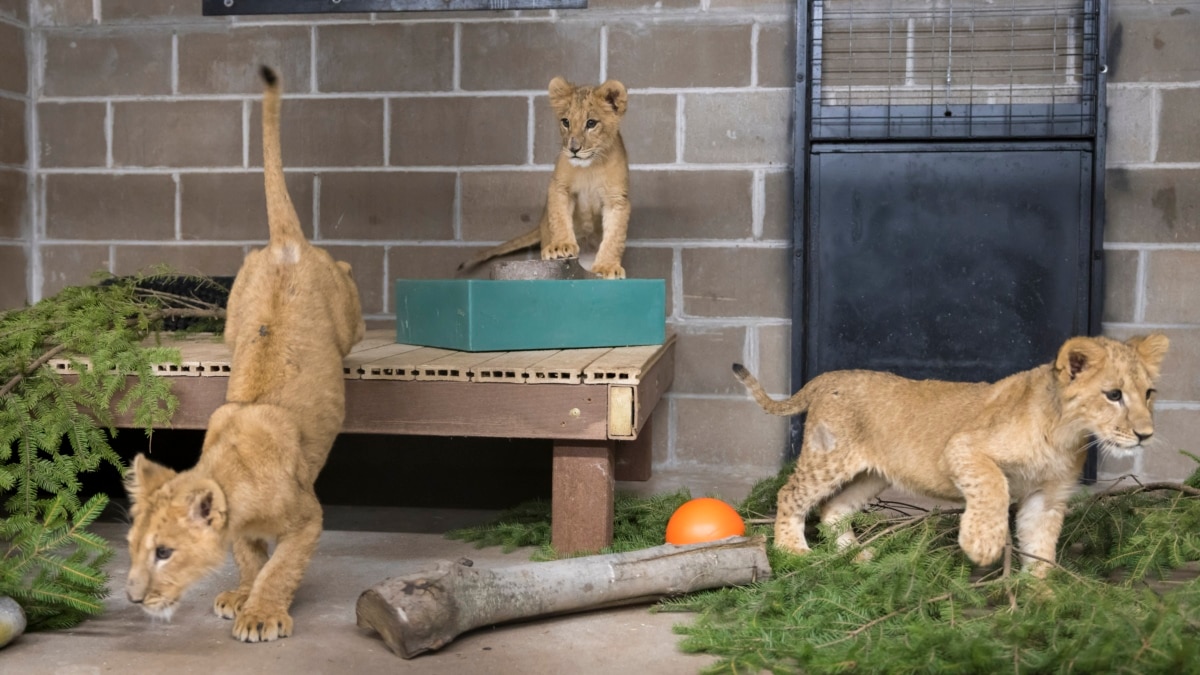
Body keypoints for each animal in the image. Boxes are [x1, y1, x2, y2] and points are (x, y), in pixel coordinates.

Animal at [123, 66, 365, 643]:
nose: (132, 597)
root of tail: (284, 243)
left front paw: (261, 614)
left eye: (164, 553)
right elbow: (251, 555)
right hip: (234, 312)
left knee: (348, 276)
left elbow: (280, 565)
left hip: (342, 313)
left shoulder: (309, 516)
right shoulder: (243, 528)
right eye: (133, 549)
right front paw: (240, 595)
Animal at [458, 76, 630, 279]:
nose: (573, 149)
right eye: (566, 122)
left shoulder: (617, 200)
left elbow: (614, 237)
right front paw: (561, 246)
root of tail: (539, 224)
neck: (590, 167)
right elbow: (559, 218)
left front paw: (607, 267)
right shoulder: (559, 186)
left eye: (591, 123)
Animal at [733, 334, 1169, 577]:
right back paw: (793, 551)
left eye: (1149, 393)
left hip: (872, 474)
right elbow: (992, 486)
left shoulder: (1047, 496)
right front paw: (982, 545)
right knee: (791, 494)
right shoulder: (963, 447)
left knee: (832, 509)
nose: (1146, 435)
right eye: (1113, 395)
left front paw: (1039, 599)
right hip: (829, 456)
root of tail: (827, 377)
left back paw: (857, 556)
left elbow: (1040, 545)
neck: (1068, 432)